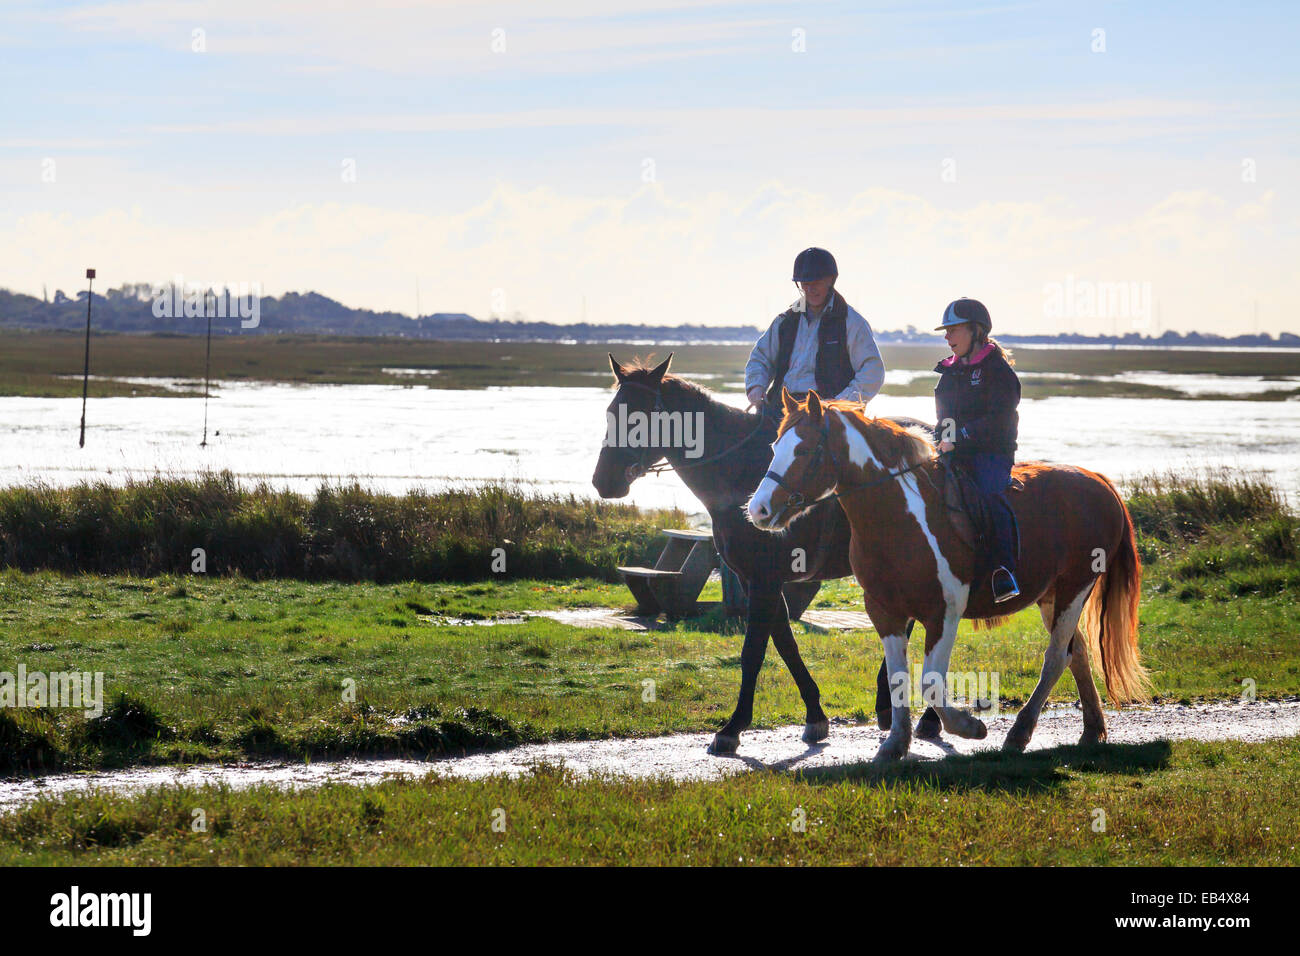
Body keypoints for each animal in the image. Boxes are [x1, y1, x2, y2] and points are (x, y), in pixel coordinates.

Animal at [591, 354, 943, 754]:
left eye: (640, 417)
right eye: (611, 412)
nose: (604, 481)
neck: (739, 472)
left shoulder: (764, 580)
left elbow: (754, 650)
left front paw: (732, 727)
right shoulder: (755, 580)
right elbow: (784, 642)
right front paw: (814, 716)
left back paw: (924, 717)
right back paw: (889, 706)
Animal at [748, 388, 1149, 761]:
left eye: (803, 450)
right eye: (775, 445)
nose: (759, 509)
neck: (896, 516)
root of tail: (1097, 480)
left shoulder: (943, 612)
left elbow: (930, 683)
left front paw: (968, 726)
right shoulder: (884, 612)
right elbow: (897, 678)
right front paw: (895, 743)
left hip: (1075, 587)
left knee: (1055, 659)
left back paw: (1019, 733)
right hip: (1051, 596)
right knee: (1076, 652)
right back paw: (1091, 730)